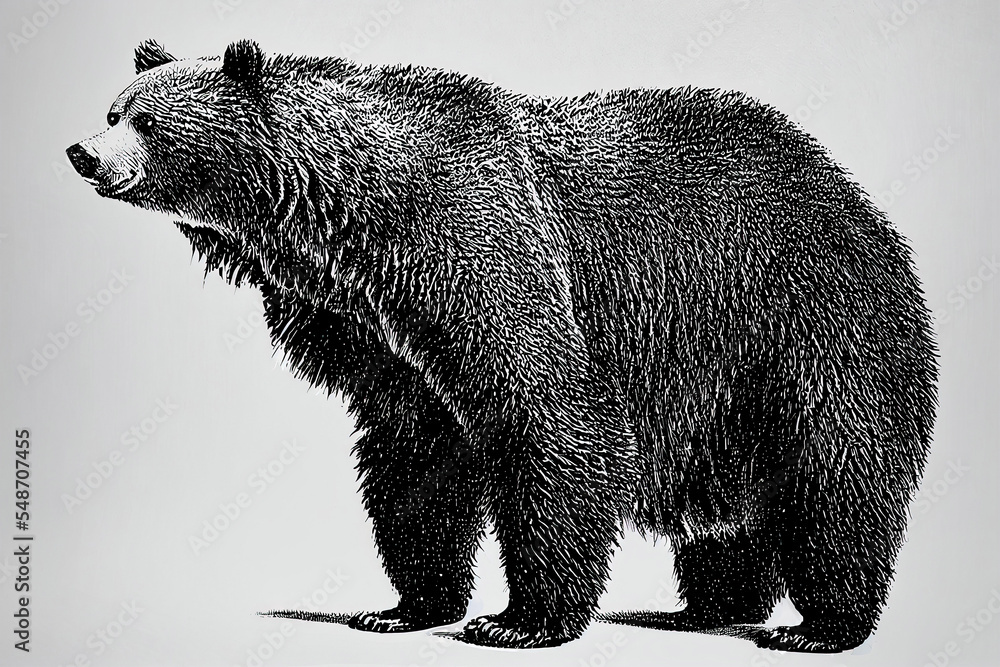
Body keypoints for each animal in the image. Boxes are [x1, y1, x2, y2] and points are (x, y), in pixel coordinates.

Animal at [66, 39, 938, 652]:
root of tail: (858, 199)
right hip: (724, 383)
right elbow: (414, 457)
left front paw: (519, 618)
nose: (83, 153)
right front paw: (402, 605)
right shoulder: (381, 332)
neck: (352, 225)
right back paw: (707, 605)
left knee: (837, 470)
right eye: (113, 109)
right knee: (729, 499)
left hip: (804, 320)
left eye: (145, 120)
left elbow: (548, 414)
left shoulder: (485, 254)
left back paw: (818, 623)